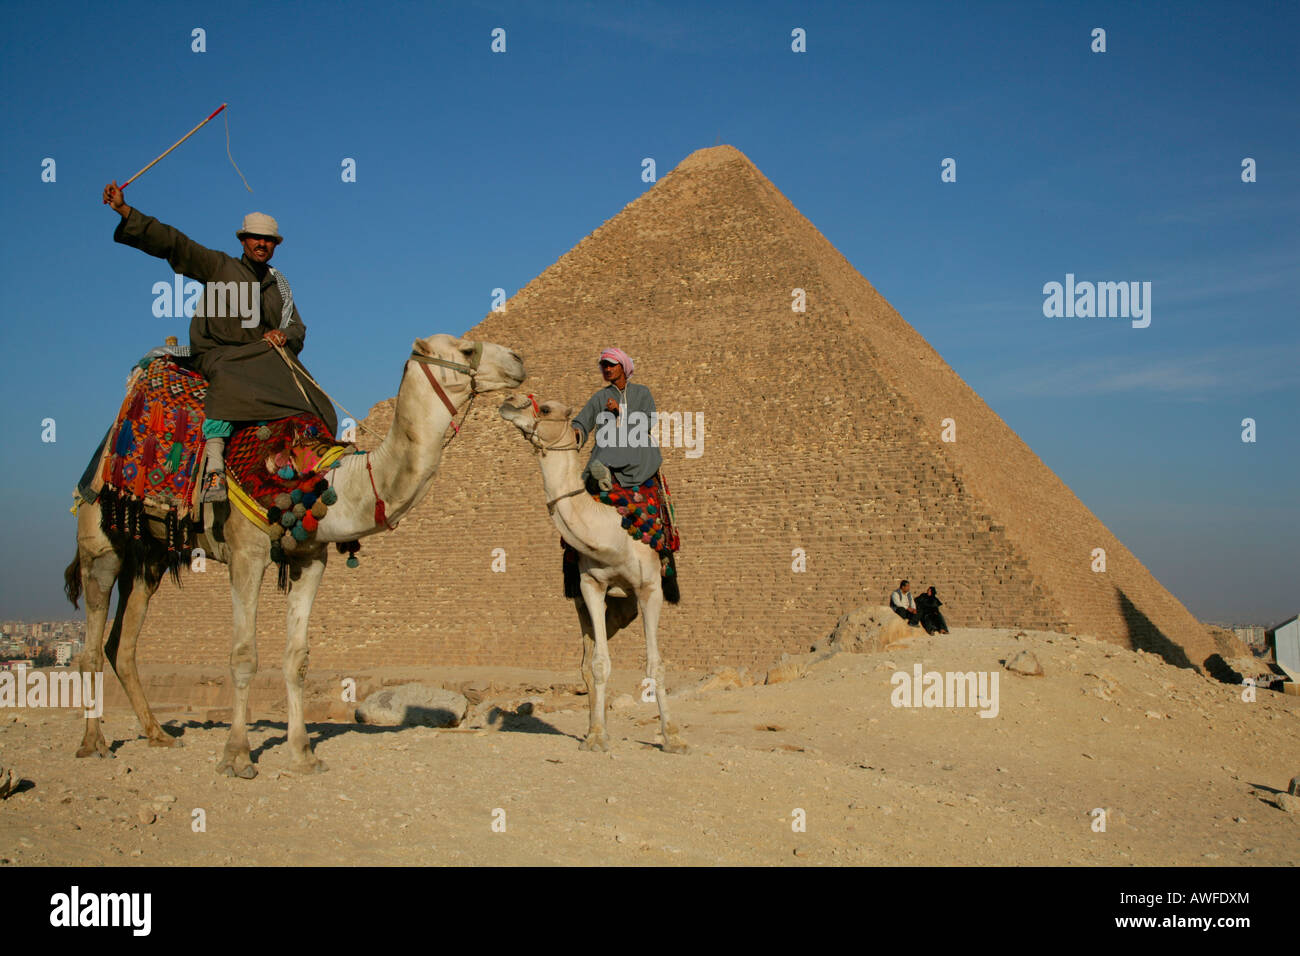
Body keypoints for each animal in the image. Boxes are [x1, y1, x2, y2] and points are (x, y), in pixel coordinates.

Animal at [64, 334, 525, 778]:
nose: (519, 360)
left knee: (122, 645)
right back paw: (93, 743)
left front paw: (303, 755)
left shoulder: (311, 559)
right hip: (100, 542)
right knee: (90, 647)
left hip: (151, 555)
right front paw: (237, 756)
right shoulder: (245, 556)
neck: (324, 481)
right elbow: (244, 656)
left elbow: (296, 659)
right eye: (466, 348)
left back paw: (158, 734)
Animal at [498, 394, 686, 754]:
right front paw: (597, 737)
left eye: (545, 408)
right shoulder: (591, 587)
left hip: (627, 605)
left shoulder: (650, 589)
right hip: (589, 604)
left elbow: (656, 664)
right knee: (587, 662)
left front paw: (673, 737)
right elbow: (599, 664)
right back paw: (592, 727)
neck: (610, 529)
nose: (508, 402)